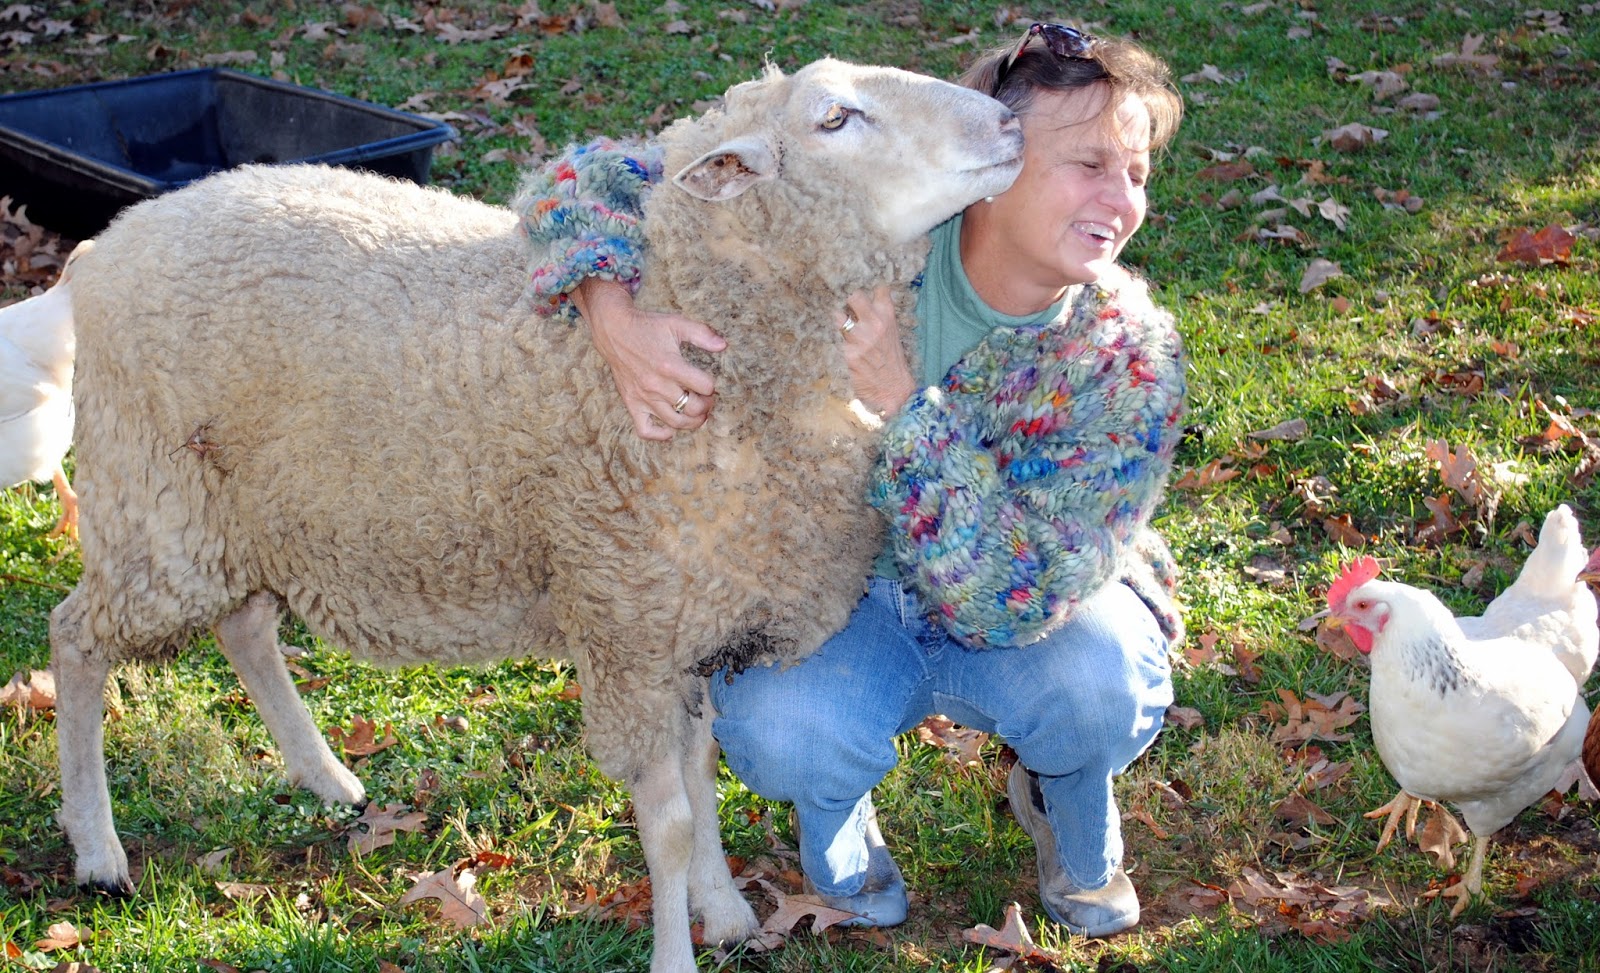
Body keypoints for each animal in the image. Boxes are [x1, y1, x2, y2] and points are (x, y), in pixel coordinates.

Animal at [49, 58, 1022, 973]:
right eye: (835, 119)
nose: (1010, 121)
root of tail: (102, 249)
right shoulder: (626, 624)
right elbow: (669, 820)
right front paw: (677, 949)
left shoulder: (692, 624)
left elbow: (703, 783)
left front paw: (726, 911)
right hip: (150, 507)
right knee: (76, 637)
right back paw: (97, 848)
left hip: (232, 515)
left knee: (245, 626)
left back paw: (325, 777)